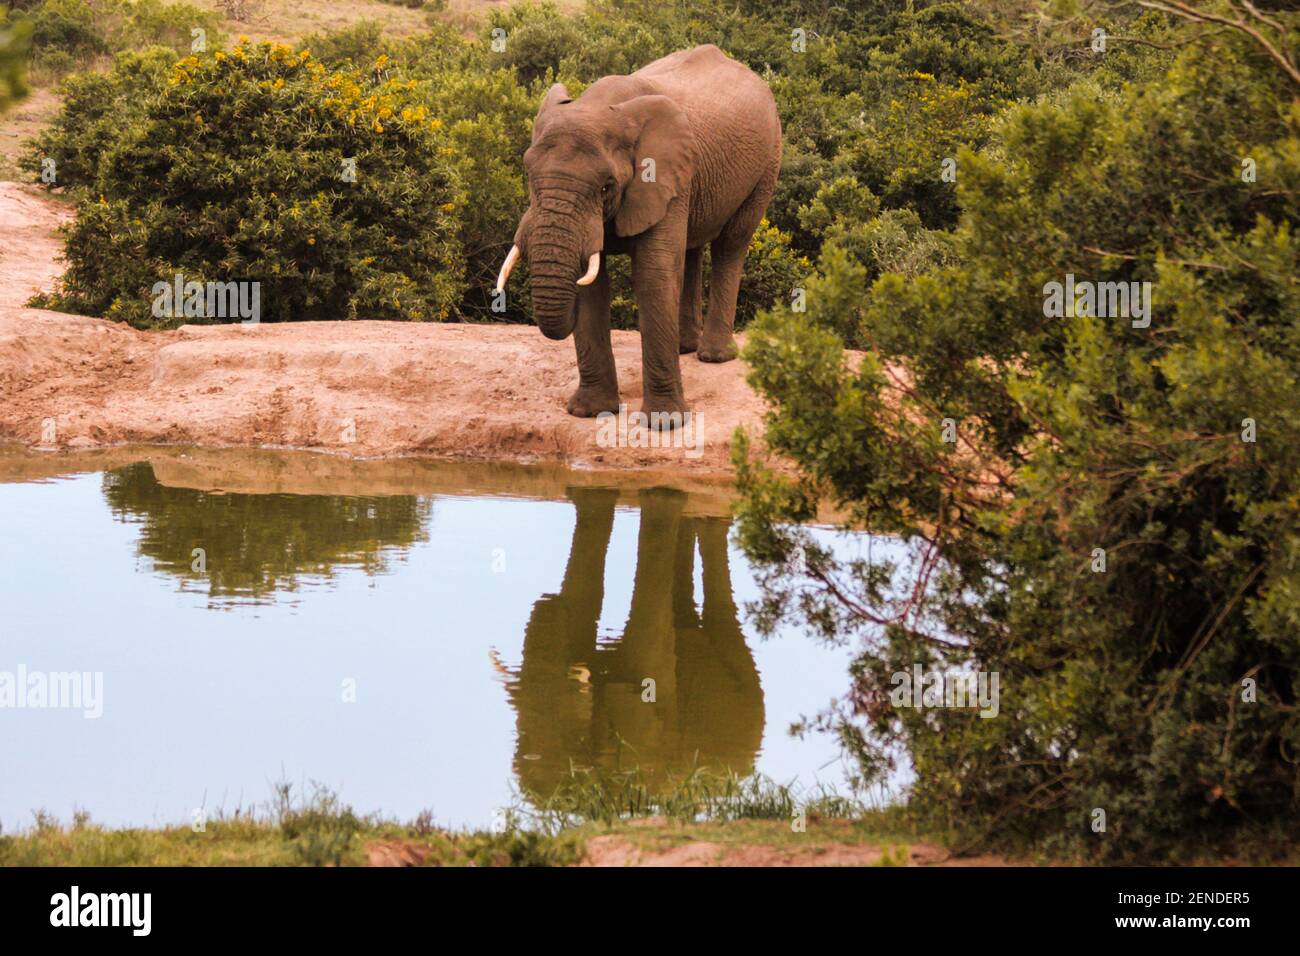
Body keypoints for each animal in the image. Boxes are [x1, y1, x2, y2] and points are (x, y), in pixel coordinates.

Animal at [494, 45, 782, 423]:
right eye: (528, 175)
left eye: (606, 187)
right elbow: (592, 283)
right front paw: (588, 412)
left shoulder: (660, 173)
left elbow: (653, 275)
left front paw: (665, 424)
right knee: (691, 250)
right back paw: (684, 347)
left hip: (768, 160)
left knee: (731, 244)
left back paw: (714, 356)